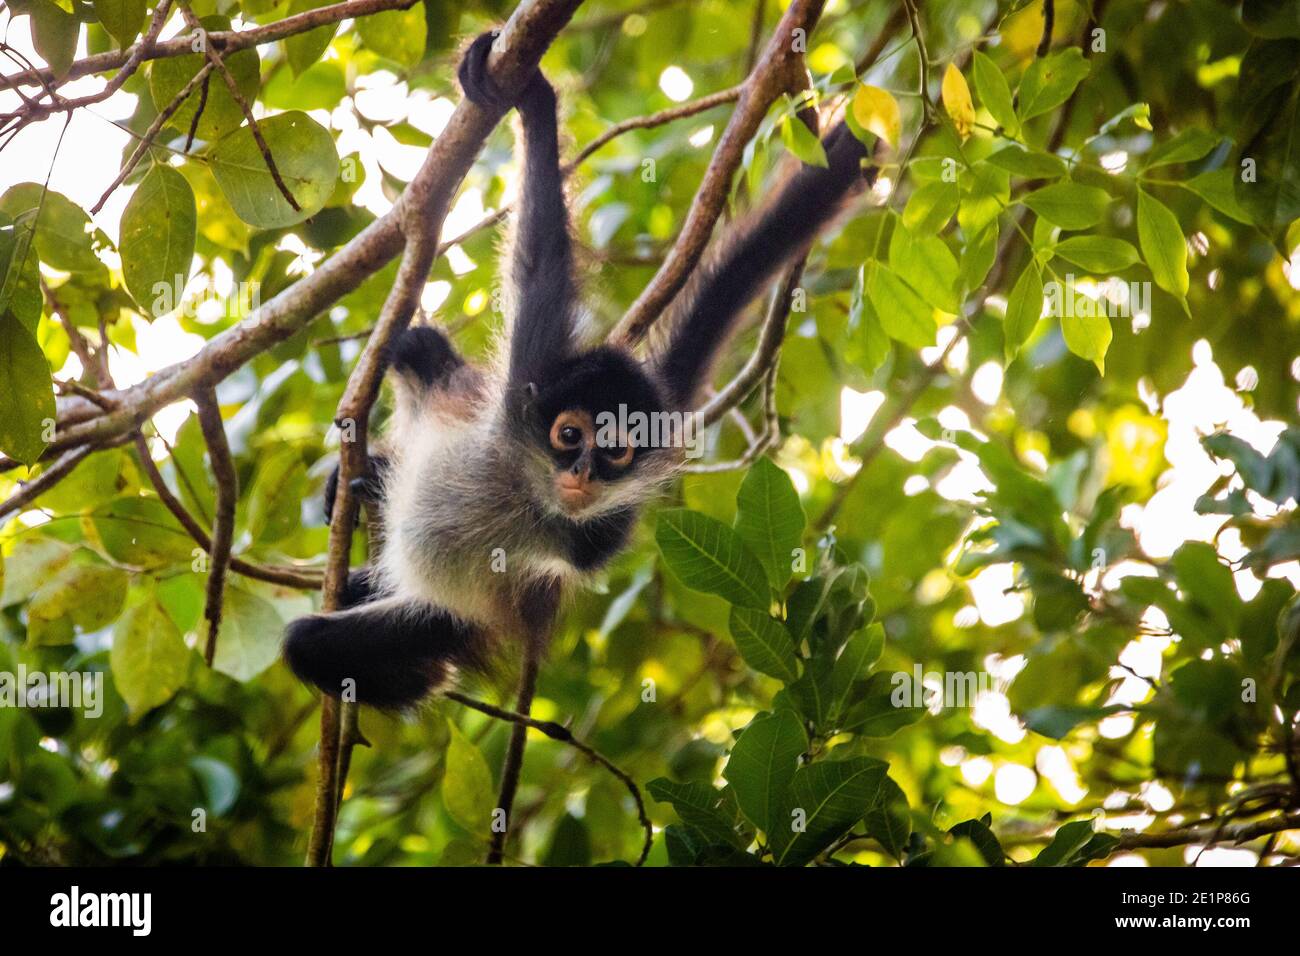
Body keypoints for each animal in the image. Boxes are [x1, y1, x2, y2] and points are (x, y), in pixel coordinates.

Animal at [282, 30, 877, 710]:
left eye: (616, 451)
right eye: (570, 435)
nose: (585, 474)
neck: (526, 484)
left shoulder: (596, 536)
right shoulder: (531, 368)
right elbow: (539, 263)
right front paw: (535, 103)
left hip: (440, 614)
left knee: (320, 641)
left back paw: (420, 663)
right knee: (418, 348)